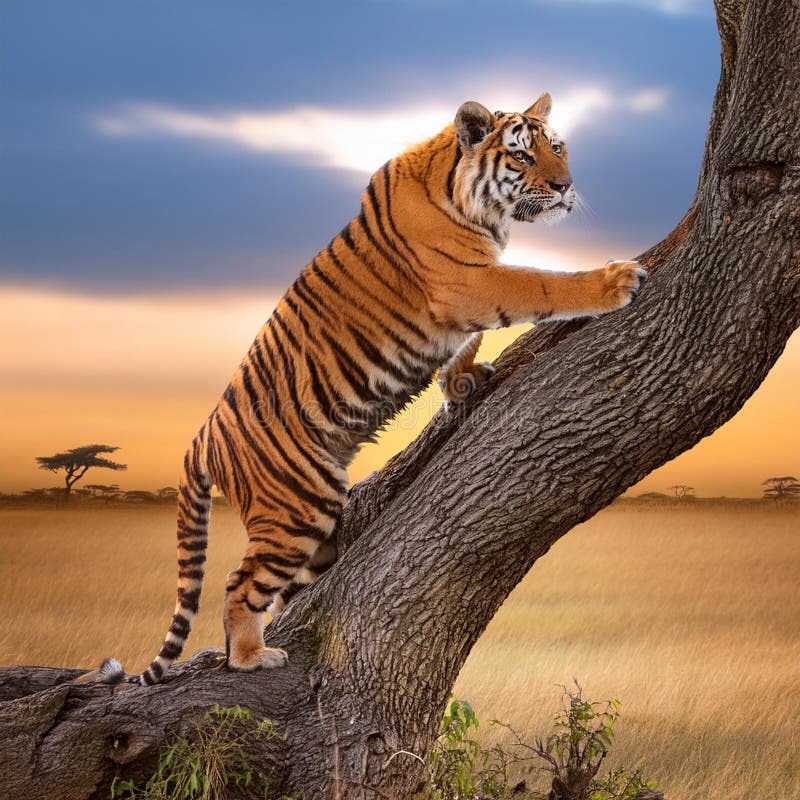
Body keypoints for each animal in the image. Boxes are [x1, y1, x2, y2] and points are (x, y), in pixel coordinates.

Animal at [99, 92, 646, 686]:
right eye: (522, 157)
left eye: (558, 147)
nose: (567, 185)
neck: (476, 205)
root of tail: (200, 439)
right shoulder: (469, 283)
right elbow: (542, 283)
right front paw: (615, 280)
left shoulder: (463, 297)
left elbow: (467, 341)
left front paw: (460, 381)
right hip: (299, 503)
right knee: (239, 585)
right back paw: (251, 657)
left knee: (286, 589)